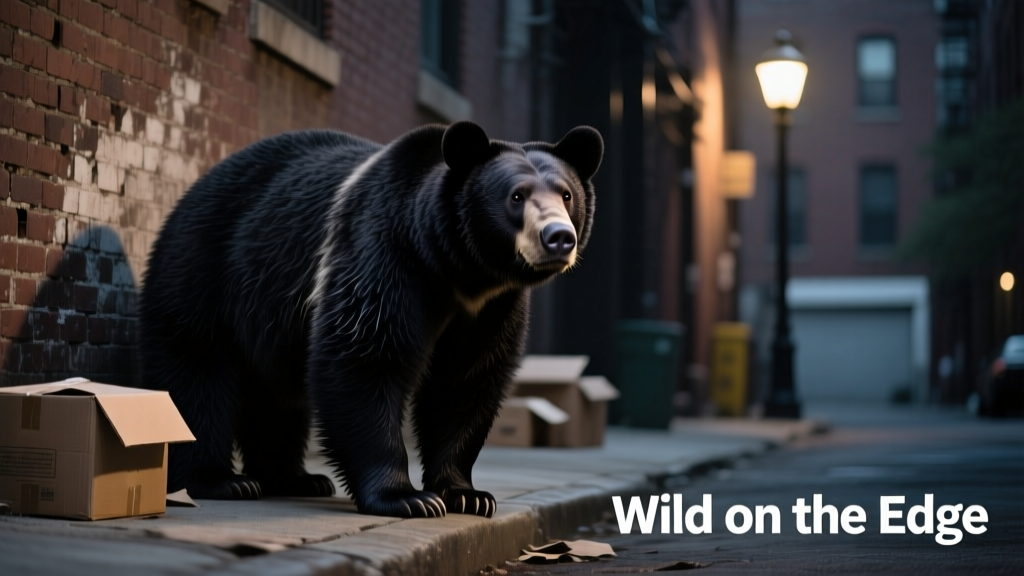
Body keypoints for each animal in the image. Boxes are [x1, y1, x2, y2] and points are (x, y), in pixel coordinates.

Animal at [138, 121, 603, 518]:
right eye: (516, 196)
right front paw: (408, 498)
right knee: (197, 370)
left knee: (277, 396)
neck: (458, 269)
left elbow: (466, 380)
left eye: (566, 195)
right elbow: (366, 358)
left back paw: (294, 478)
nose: (559, 238)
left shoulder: (492, 307)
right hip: (206, 269)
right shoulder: (384, 256)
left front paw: (467, 495)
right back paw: (223, 480)